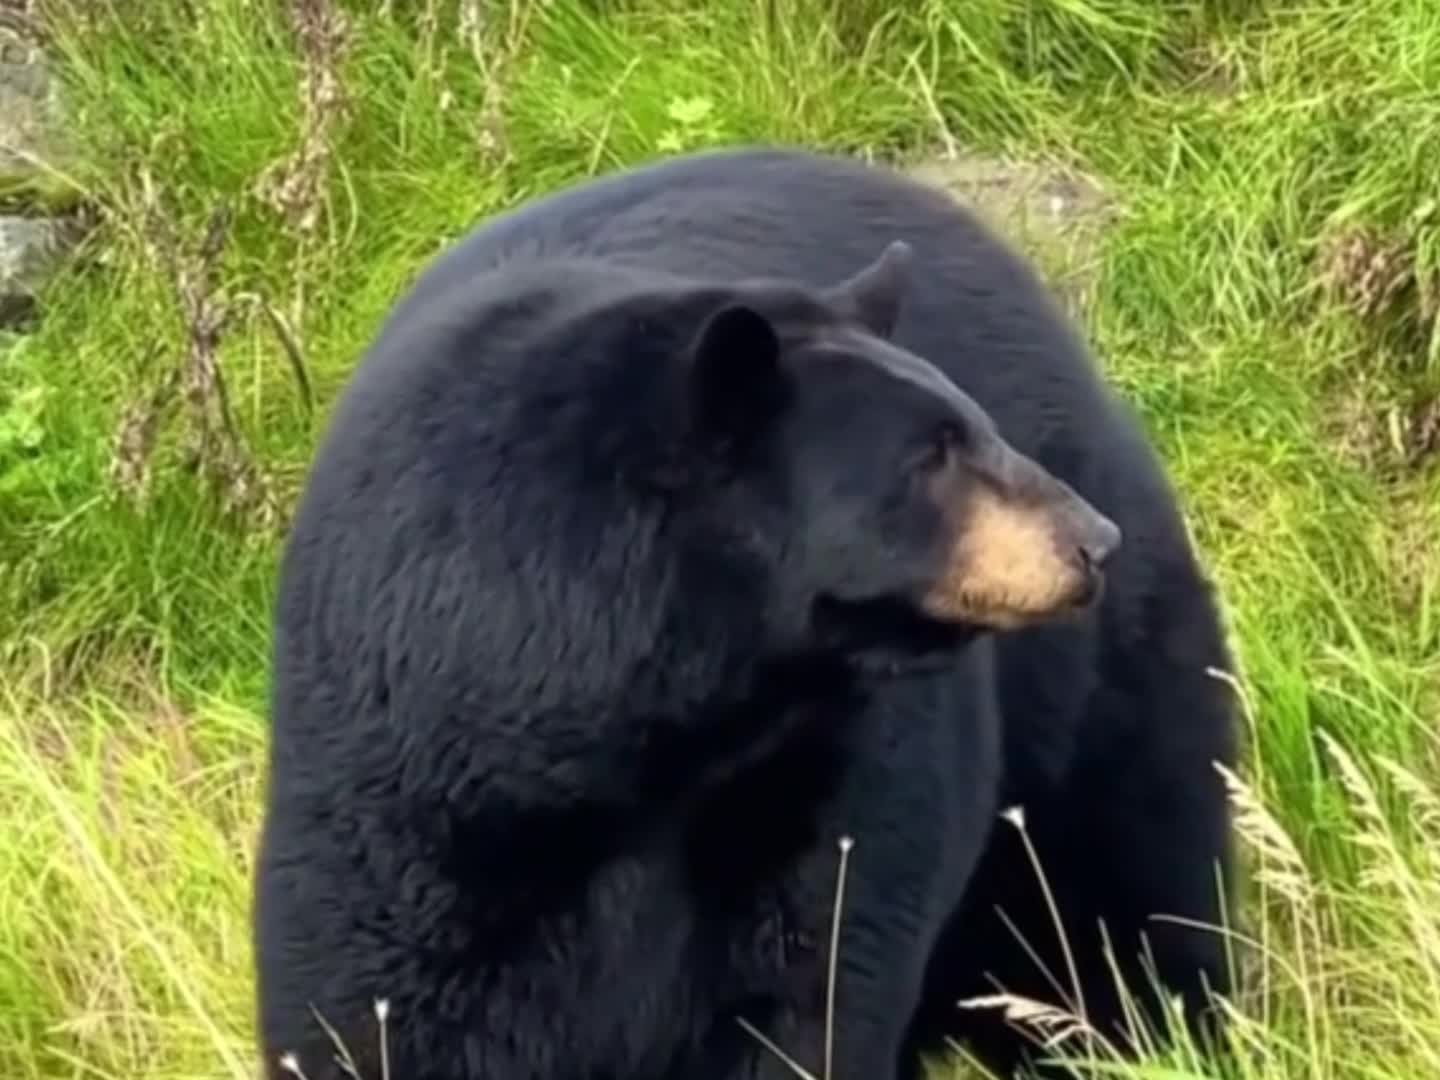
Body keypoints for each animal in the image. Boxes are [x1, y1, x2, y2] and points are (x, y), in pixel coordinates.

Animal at [252, 144, 1236, 1080]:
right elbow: (373, 1011)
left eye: (974, 426)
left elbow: (808, 990)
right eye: (932, 455)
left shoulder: (817, 783)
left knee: (1117, 901)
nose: (1090, 540)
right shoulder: (406, 805)